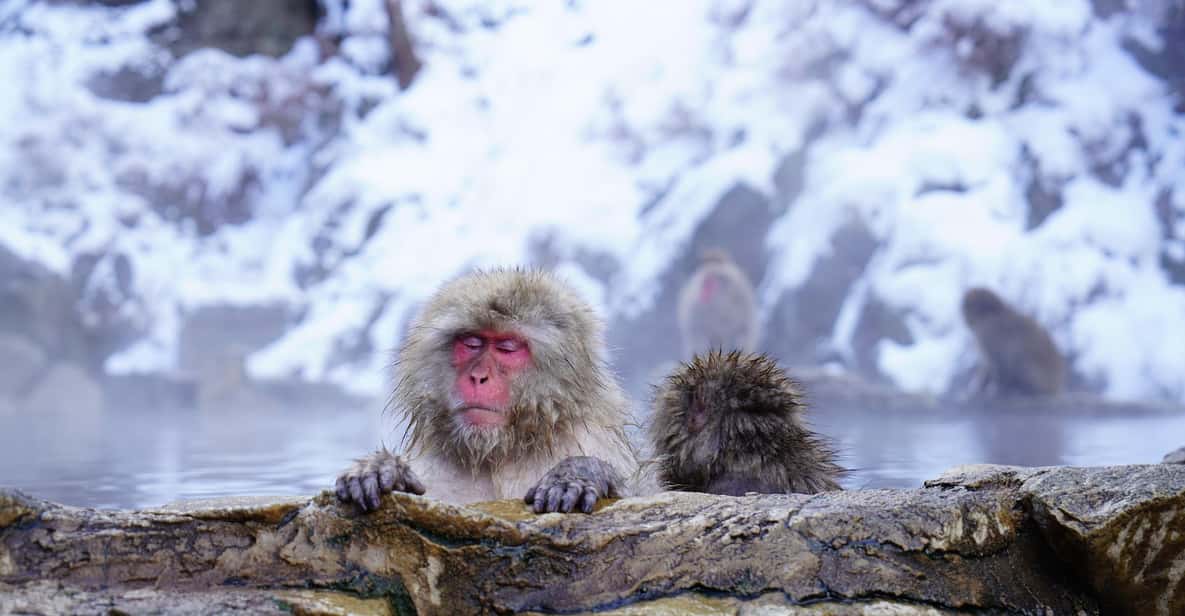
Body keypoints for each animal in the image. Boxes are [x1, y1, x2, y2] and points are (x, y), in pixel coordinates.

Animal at [335, 268, 638, 514]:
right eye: (472, 342)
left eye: (507, 347)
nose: (478, 377)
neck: (499, 453)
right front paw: (381, 469)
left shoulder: (593, 441)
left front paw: (578, 474)